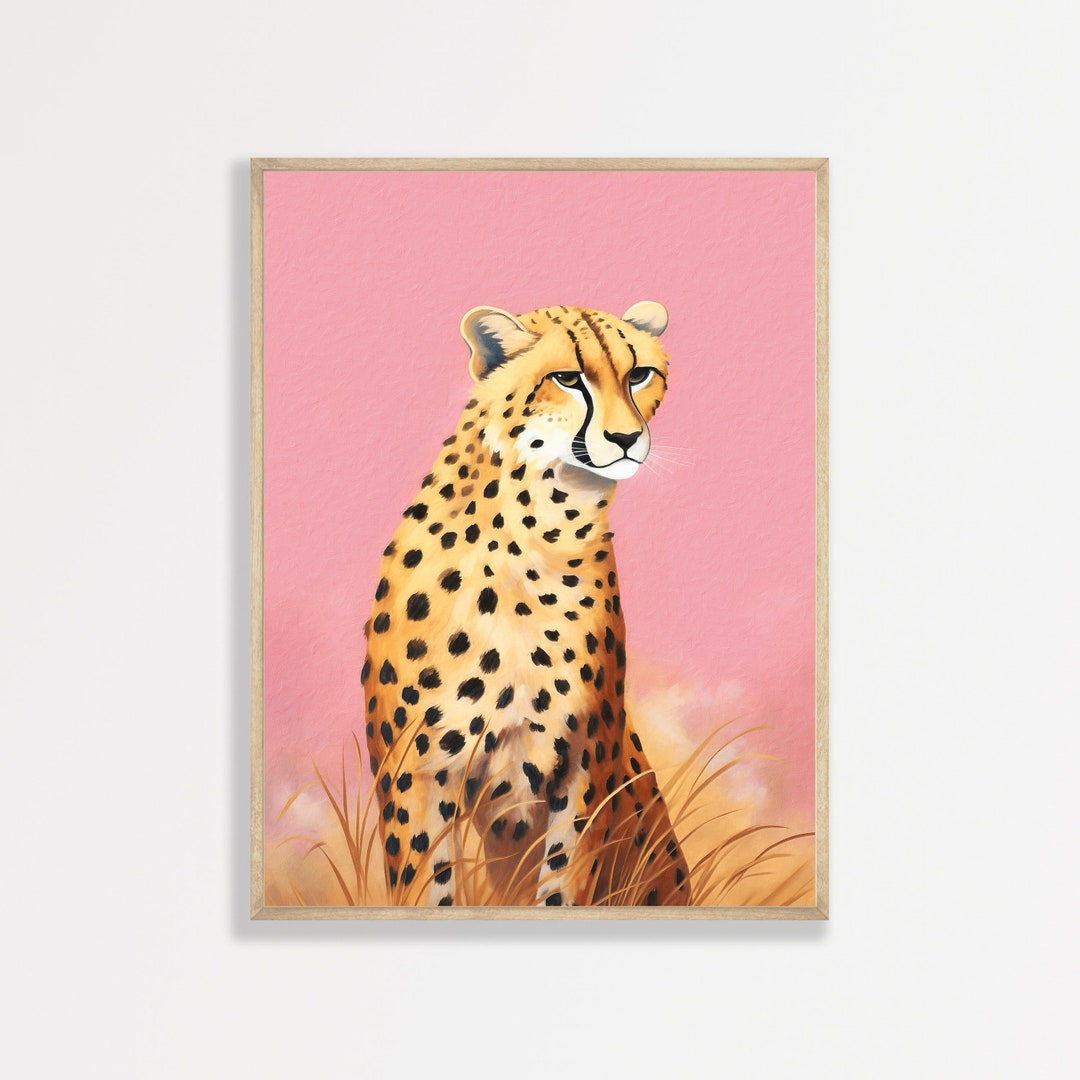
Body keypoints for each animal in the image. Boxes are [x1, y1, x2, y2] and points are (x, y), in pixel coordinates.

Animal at [360, 301, 691, 907]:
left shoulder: (584, 763)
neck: (542, 533)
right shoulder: (412, 772)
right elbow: (427, 884)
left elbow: (563, 881)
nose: (627, 438)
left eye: (639, 375)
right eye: (567, 378)